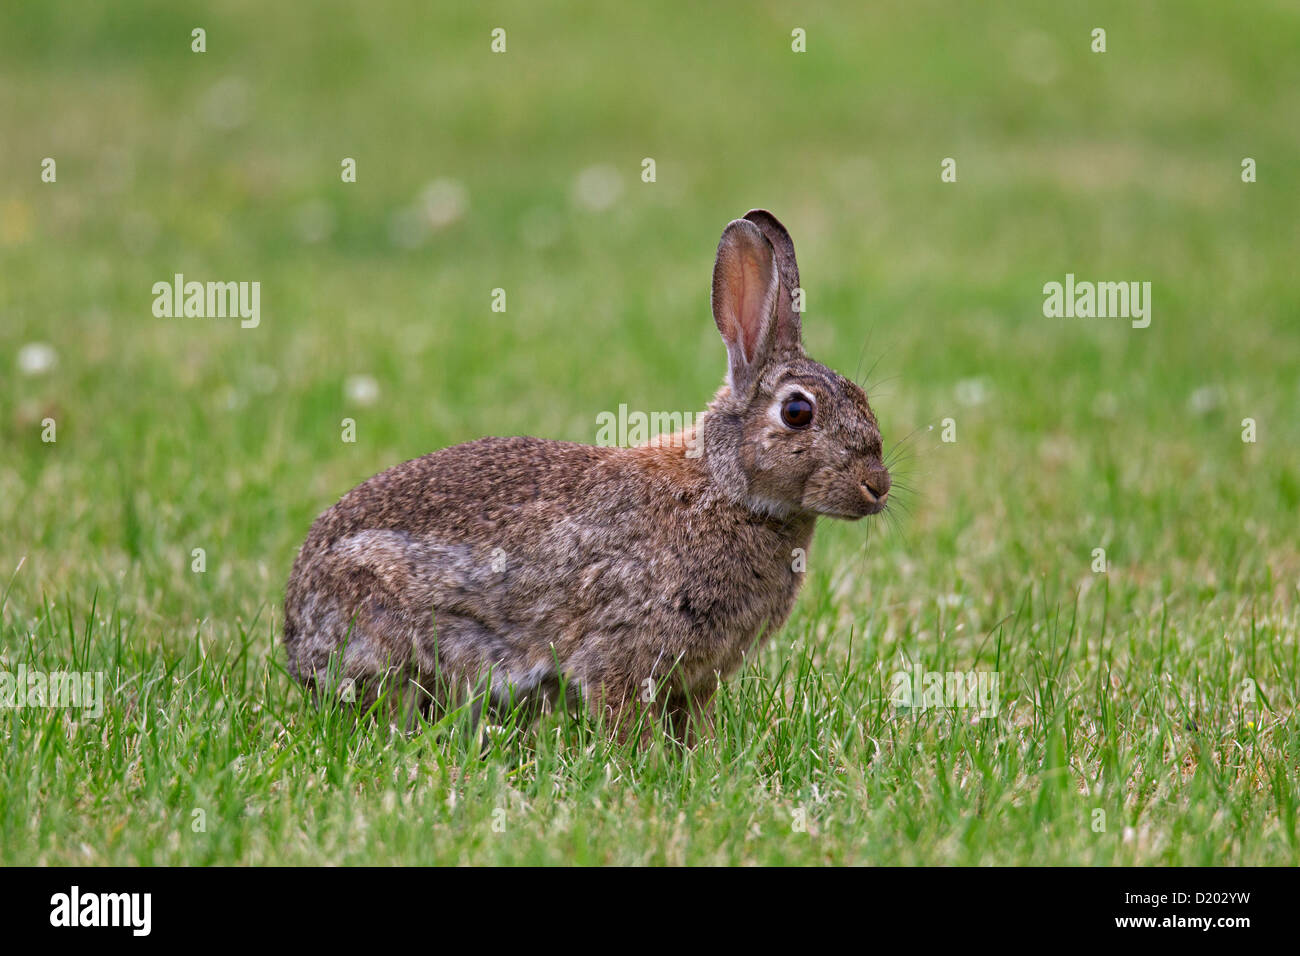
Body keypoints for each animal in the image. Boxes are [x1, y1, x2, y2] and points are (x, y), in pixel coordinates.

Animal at [283, 209, 891, 740]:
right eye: (797, 412)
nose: (878, 487)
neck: (727, 488)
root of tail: (295, 641)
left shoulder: (696, 680)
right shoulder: (623, 651)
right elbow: (622, 713)